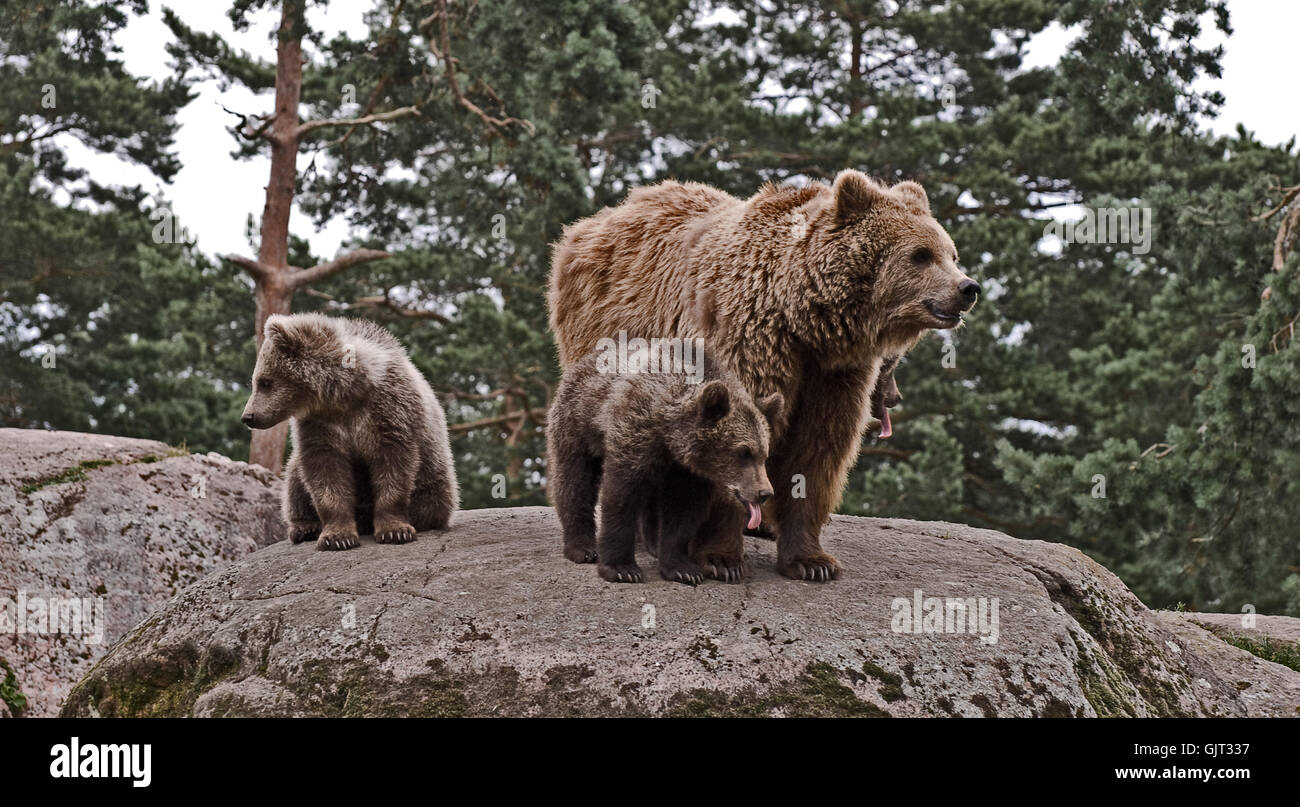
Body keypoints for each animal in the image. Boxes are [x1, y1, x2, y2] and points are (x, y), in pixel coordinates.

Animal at [239, 313, 458, 550]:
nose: (248, 416)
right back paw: (304, 527)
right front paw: (337, 536)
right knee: (295, 480)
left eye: (264, 382)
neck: (342, 395)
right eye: (257, 381)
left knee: (432, 500)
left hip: (436, 474)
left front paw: (395, 531)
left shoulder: (389, 411)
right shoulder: (319, 425)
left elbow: (394, 466)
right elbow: (325, 473)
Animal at [547, 342, 784, 584]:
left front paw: (682, 568)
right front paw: (621, 568)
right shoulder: (635, 433)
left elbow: (682, 511)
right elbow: (621, 495)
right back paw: (582, 546)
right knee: (575, 481)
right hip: (577, 421)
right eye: (743, 452)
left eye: (764, 454)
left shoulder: (689, 471)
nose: (764, 493)